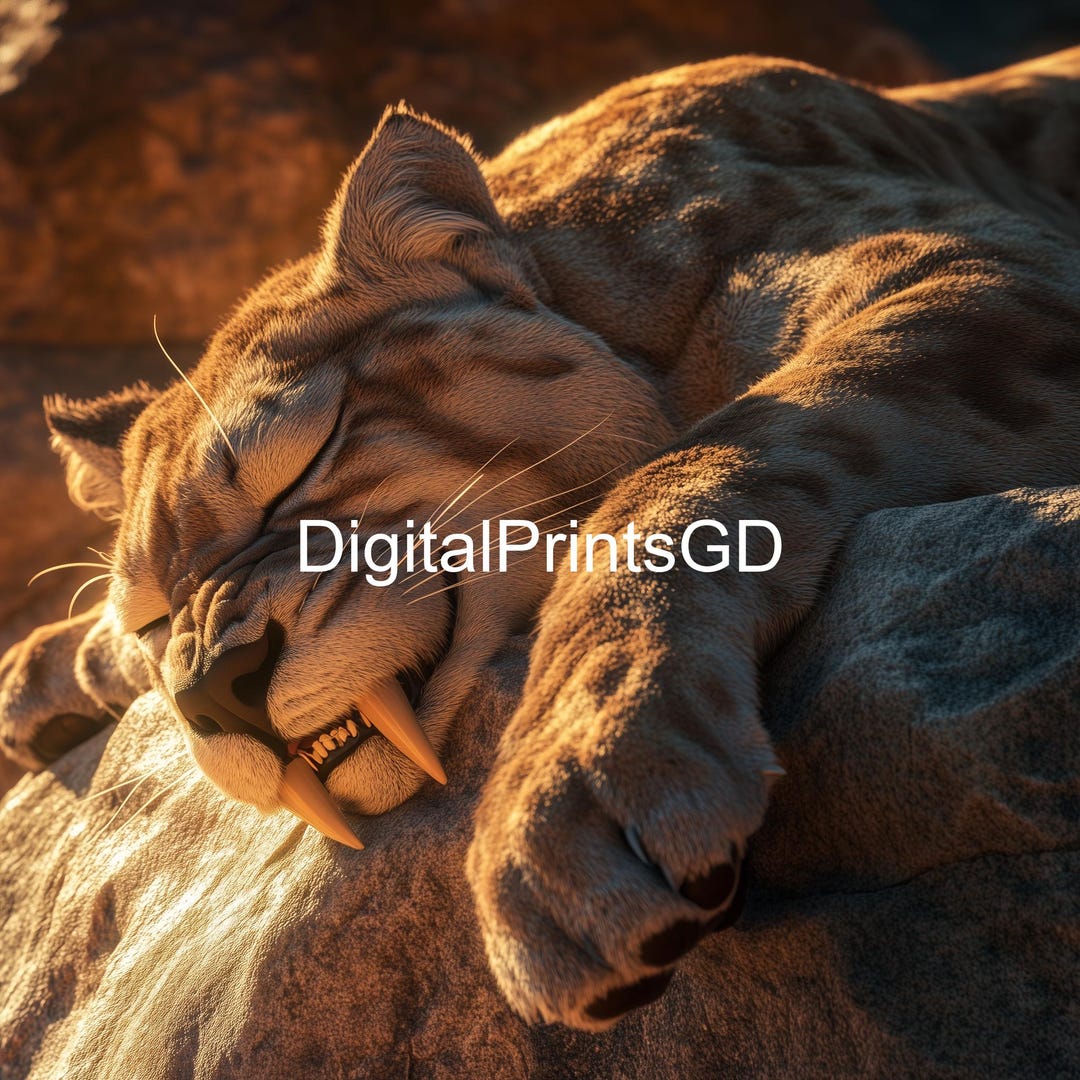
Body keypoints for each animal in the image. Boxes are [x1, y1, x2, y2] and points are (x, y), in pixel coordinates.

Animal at [3, 47, 1080, 1030]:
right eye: (151, 618)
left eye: (298, 469)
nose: (213, 691)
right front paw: (47, 669)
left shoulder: (993, 269)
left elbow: (689, 468)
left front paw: (573, 797)